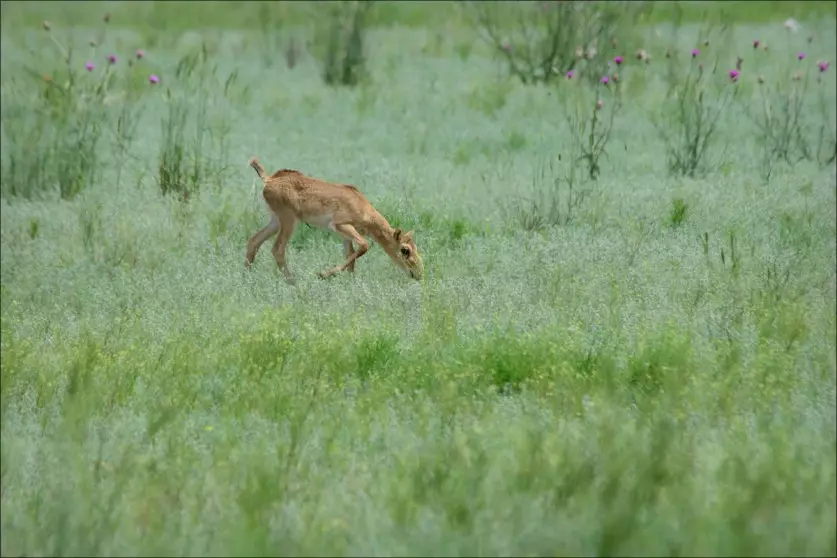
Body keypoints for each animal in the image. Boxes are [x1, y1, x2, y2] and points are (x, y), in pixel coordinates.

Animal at [245, 158, 422, 284]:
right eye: (405, 250)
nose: (419, 274)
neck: (363, 207)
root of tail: (269, 180)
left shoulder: (345, 236)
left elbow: (351, 257)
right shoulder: (340, 225)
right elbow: (364, 246)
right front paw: (323, 274)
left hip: (275, 221)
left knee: (254, 241)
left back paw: (246, 279)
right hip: (288, 221)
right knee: (278, 250)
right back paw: (293, 283)